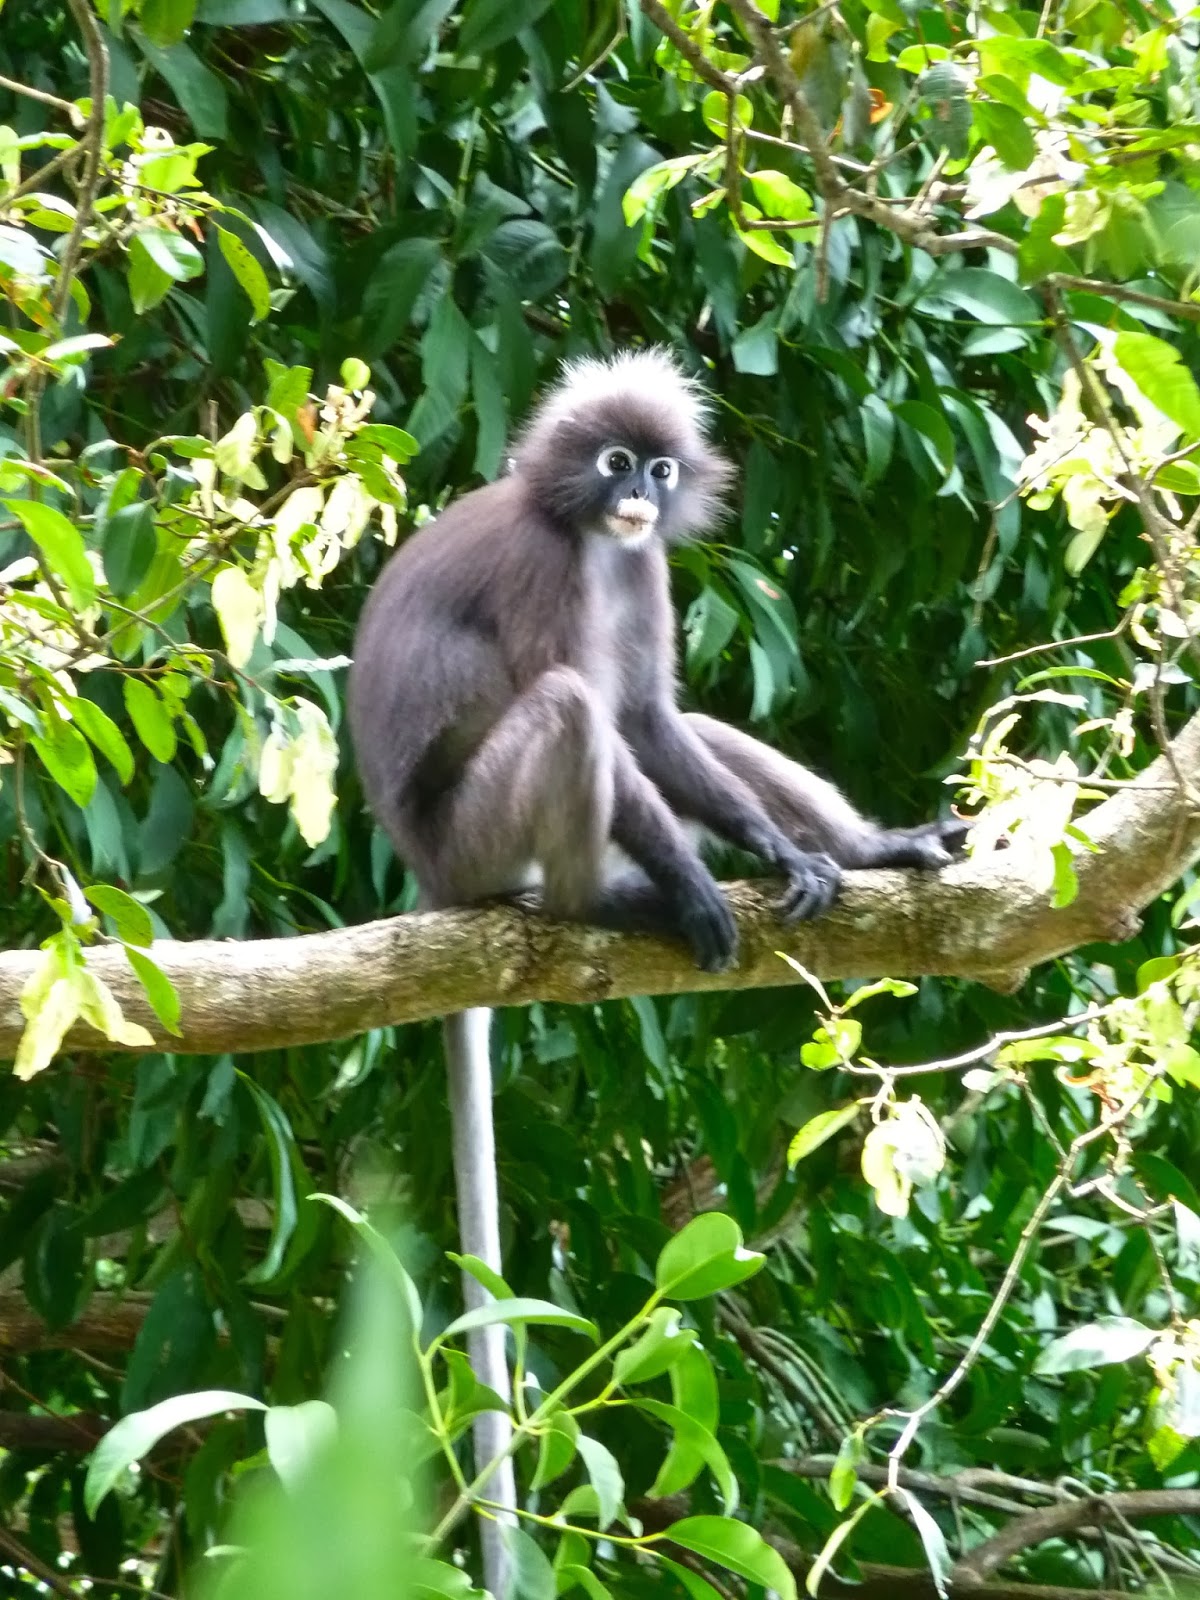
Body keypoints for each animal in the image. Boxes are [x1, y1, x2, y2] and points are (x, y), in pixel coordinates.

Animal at [347, 349, 964, 1595]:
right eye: (614, 460)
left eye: (662, 470)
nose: (639, 494)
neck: (594, 539)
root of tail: (430, 874)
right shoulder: (551, 565)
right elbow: (604, 711)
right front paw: (691, 886)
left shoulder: (637, 567)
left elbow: (655, 716)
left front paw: (795, 853)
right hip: (480, 838)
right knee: (569, 706)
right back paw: (613, 900)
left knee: (660, 720)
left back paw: (870, 850)